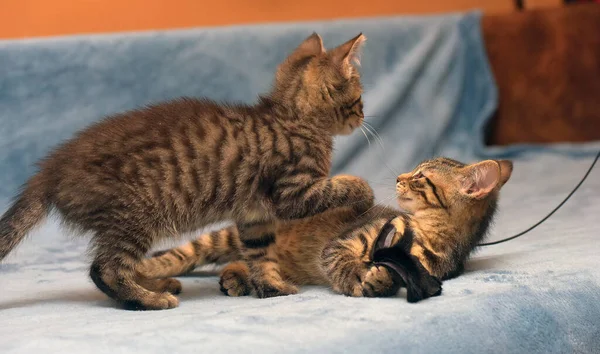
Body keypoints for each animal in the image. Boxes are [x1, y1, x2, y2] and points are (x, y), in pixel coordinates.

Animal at [0, 32, 376, 310]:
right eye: (359, 100)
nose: (363, 116)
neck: (291, 117)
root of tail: (52, 170)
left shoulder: (255, 214)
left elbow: (261, 254)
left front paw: (272, 286)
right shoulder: (292, 192)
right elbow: (343, 184)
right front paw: (365, 195)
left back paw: (154, 283)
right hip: (135, 214)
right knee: (105, 268)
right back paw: (149, 298)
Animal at [138, 158, 512, 298]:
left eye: (421, 176)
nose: (399, 177)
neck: (422, 233)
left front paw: (380, 279)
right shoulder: (342, 242)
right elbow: (341, 260)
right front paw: (359, 279)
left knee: (249, 264)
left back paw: (237, 278)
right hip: (220, 239)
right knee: (175, 257)